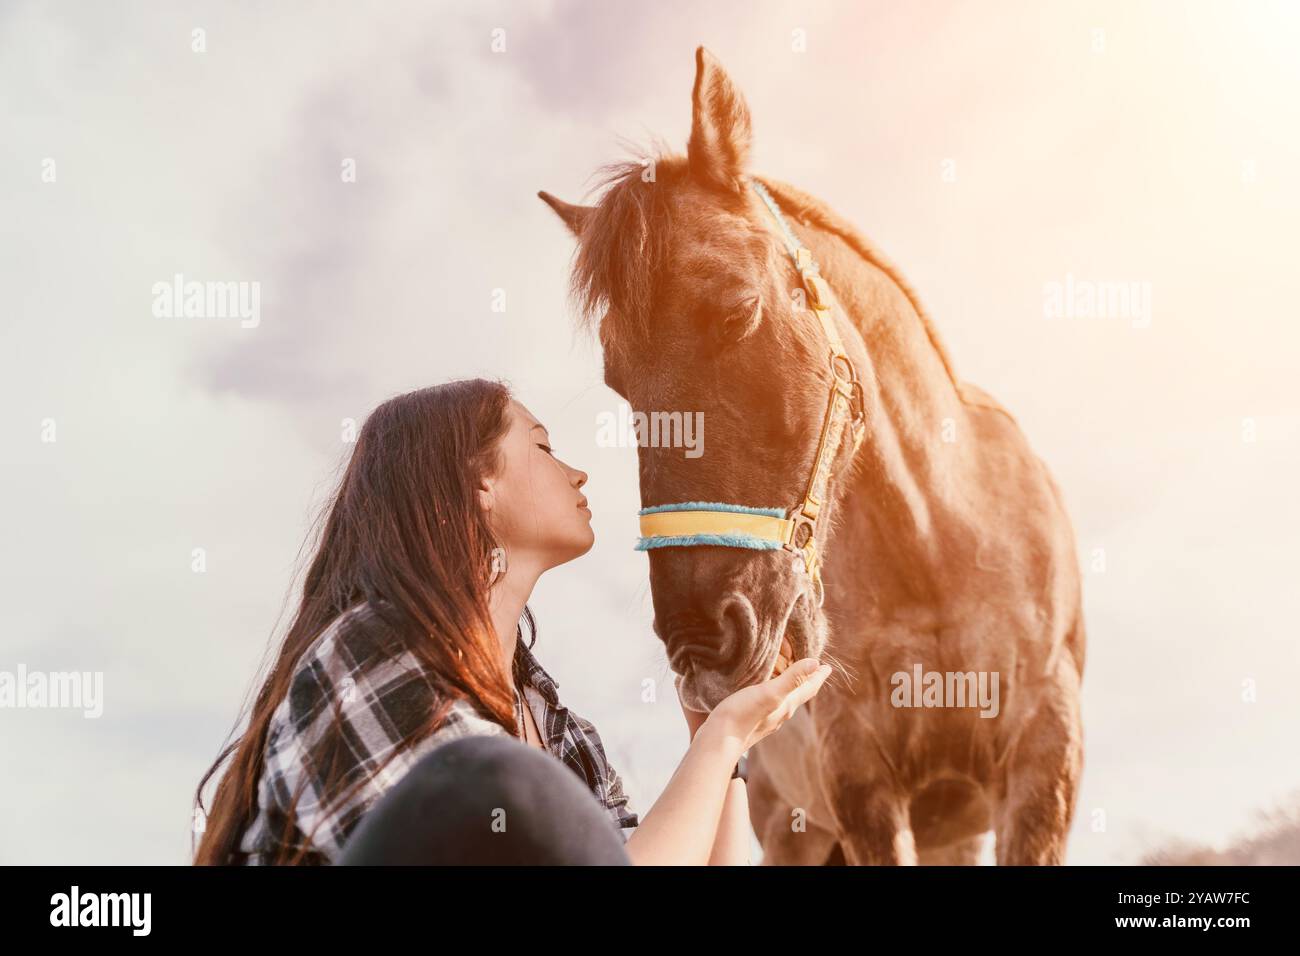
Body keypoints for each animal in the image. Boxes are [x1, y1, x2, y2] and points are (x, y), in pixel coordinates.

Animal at [538, 46, 1085, 865]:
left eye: (736, 309)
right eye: (617, 376)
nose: (704, 645)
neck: (935, 548)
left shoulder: (1044, 761)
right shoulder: (859, 780)